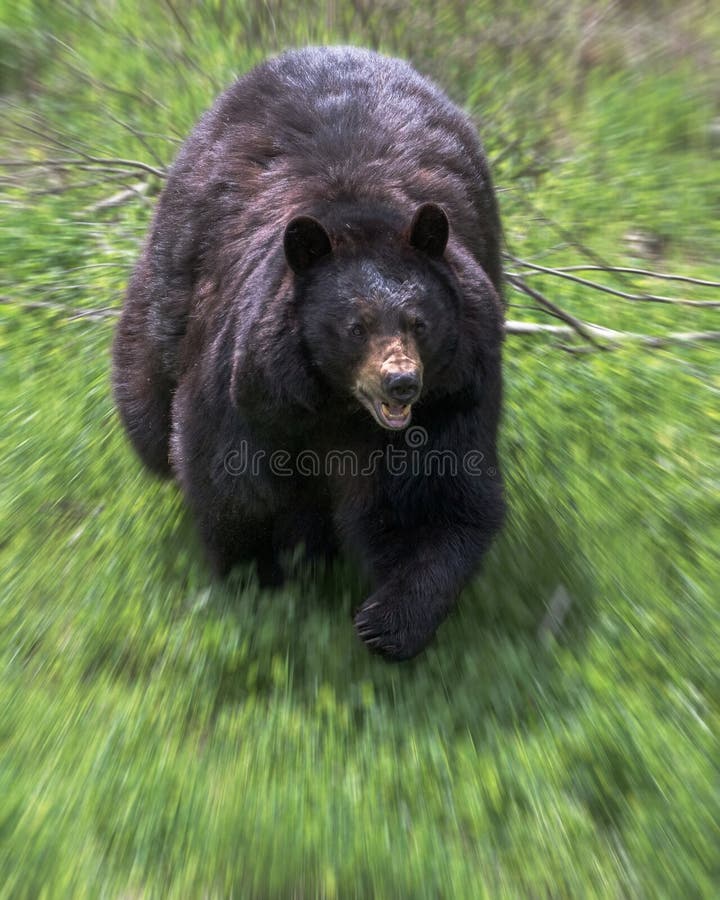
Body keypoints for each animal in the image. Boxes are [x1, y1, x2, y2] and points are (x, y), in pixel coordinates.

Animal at [112, 46, 505, 661]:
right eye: (355, 326)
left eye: (419, 321)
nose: (401, 382)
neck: (337, 408)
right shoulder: (249, 388)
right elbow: (233, 482)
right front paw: (258, 577)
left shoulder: (454, 394)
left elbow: (436, 498)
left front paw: (388, 622)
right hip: (166, 287)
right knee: (147, 402)